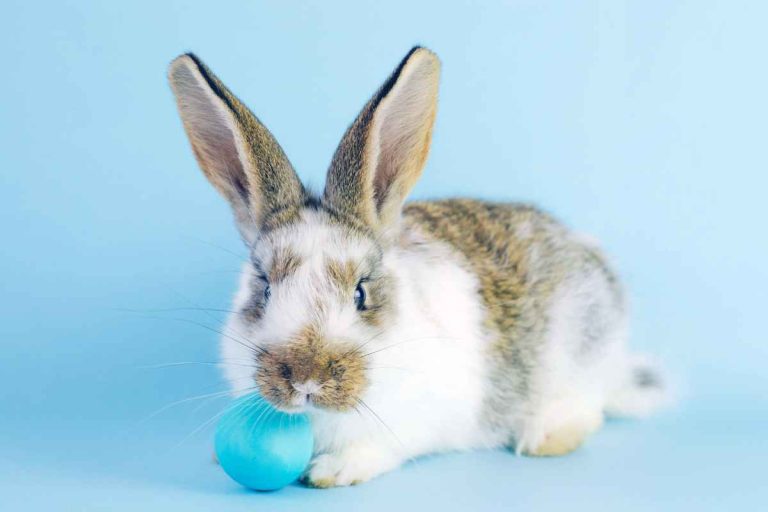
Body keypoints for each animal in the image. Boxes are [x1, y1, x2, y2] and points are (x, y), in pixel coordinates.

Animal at [167, 46, 669, 488]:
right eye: (265, 288)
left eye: (361, 293)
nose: (306, 379)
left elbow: (382, 446)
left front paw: (335, 470)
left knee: (589, 406)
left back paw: (545, 436)